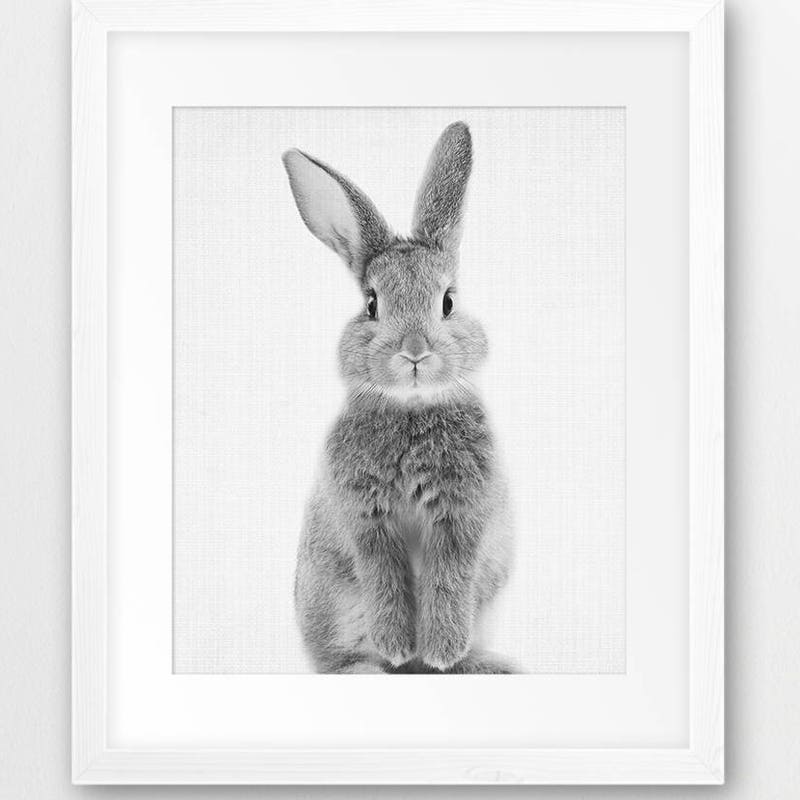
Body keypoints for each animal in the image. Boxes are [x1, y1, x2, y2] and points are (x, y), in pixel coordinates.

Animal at [282, 121, 514, 674]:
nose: (414, 351)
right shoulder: (365, 518)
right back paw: (377, 666)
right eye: (371, 305)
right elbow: (384, 579)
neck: (410, 410)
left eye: (448, 302)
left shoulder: (461, 517)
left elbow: (448, 581)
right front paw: (397, 644)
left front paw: (441, 650)